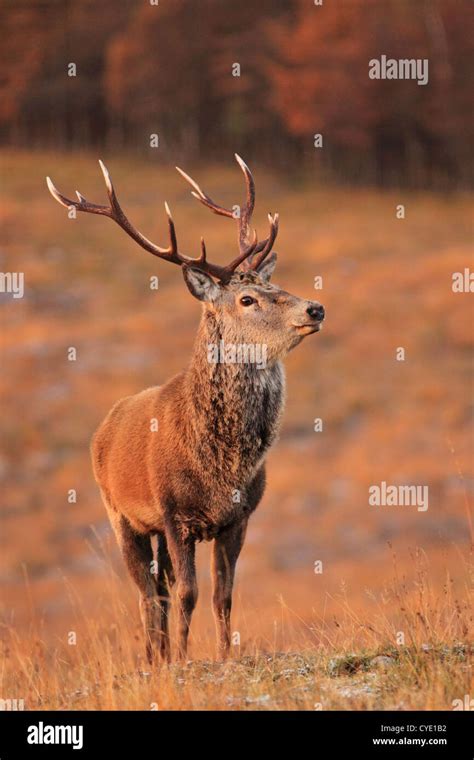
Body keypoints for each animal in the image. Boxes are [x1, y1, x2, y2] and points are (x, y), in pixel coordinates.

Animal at [46, 155, 325, 664]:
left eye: (274, 283)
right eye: (247, 298)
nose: (315, 308)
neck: (221, 466)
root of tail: (104, 426)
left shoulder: (239, 517)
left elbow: (223, 595)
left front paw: (224, 655)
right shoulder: (175, 514)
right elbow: (188, 594)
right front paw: (180, 658)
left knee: (158, 587)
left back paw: (156, 655)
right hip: (120, 513)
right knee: (146, 592)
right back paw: (154, 659)